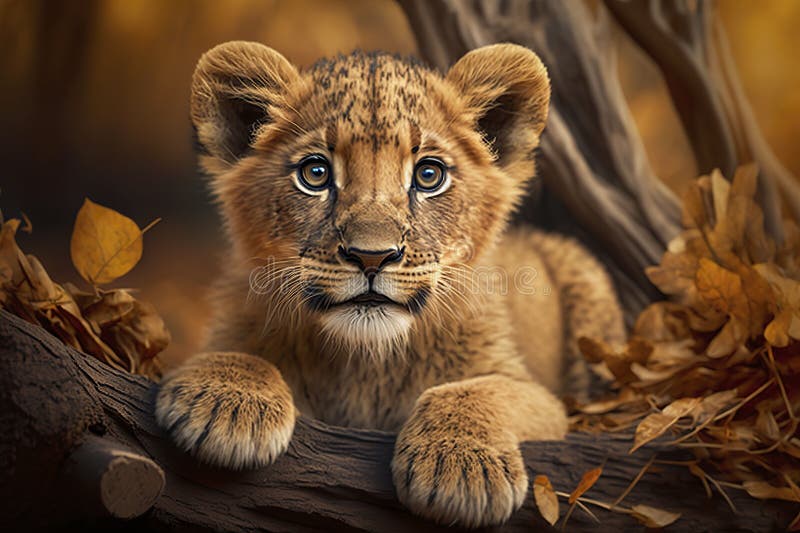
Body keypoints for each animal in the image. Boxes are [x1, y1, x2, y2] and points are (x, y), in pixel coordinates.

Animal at [155, 41, 625, 528]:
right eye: (315, 173)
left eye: (429, 175)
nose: (372, 256)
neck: (365, 363)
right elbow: (243, 354)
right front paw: (225, 398)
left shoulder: (539, 395)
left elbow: (481, 390)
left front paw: (461, 466)